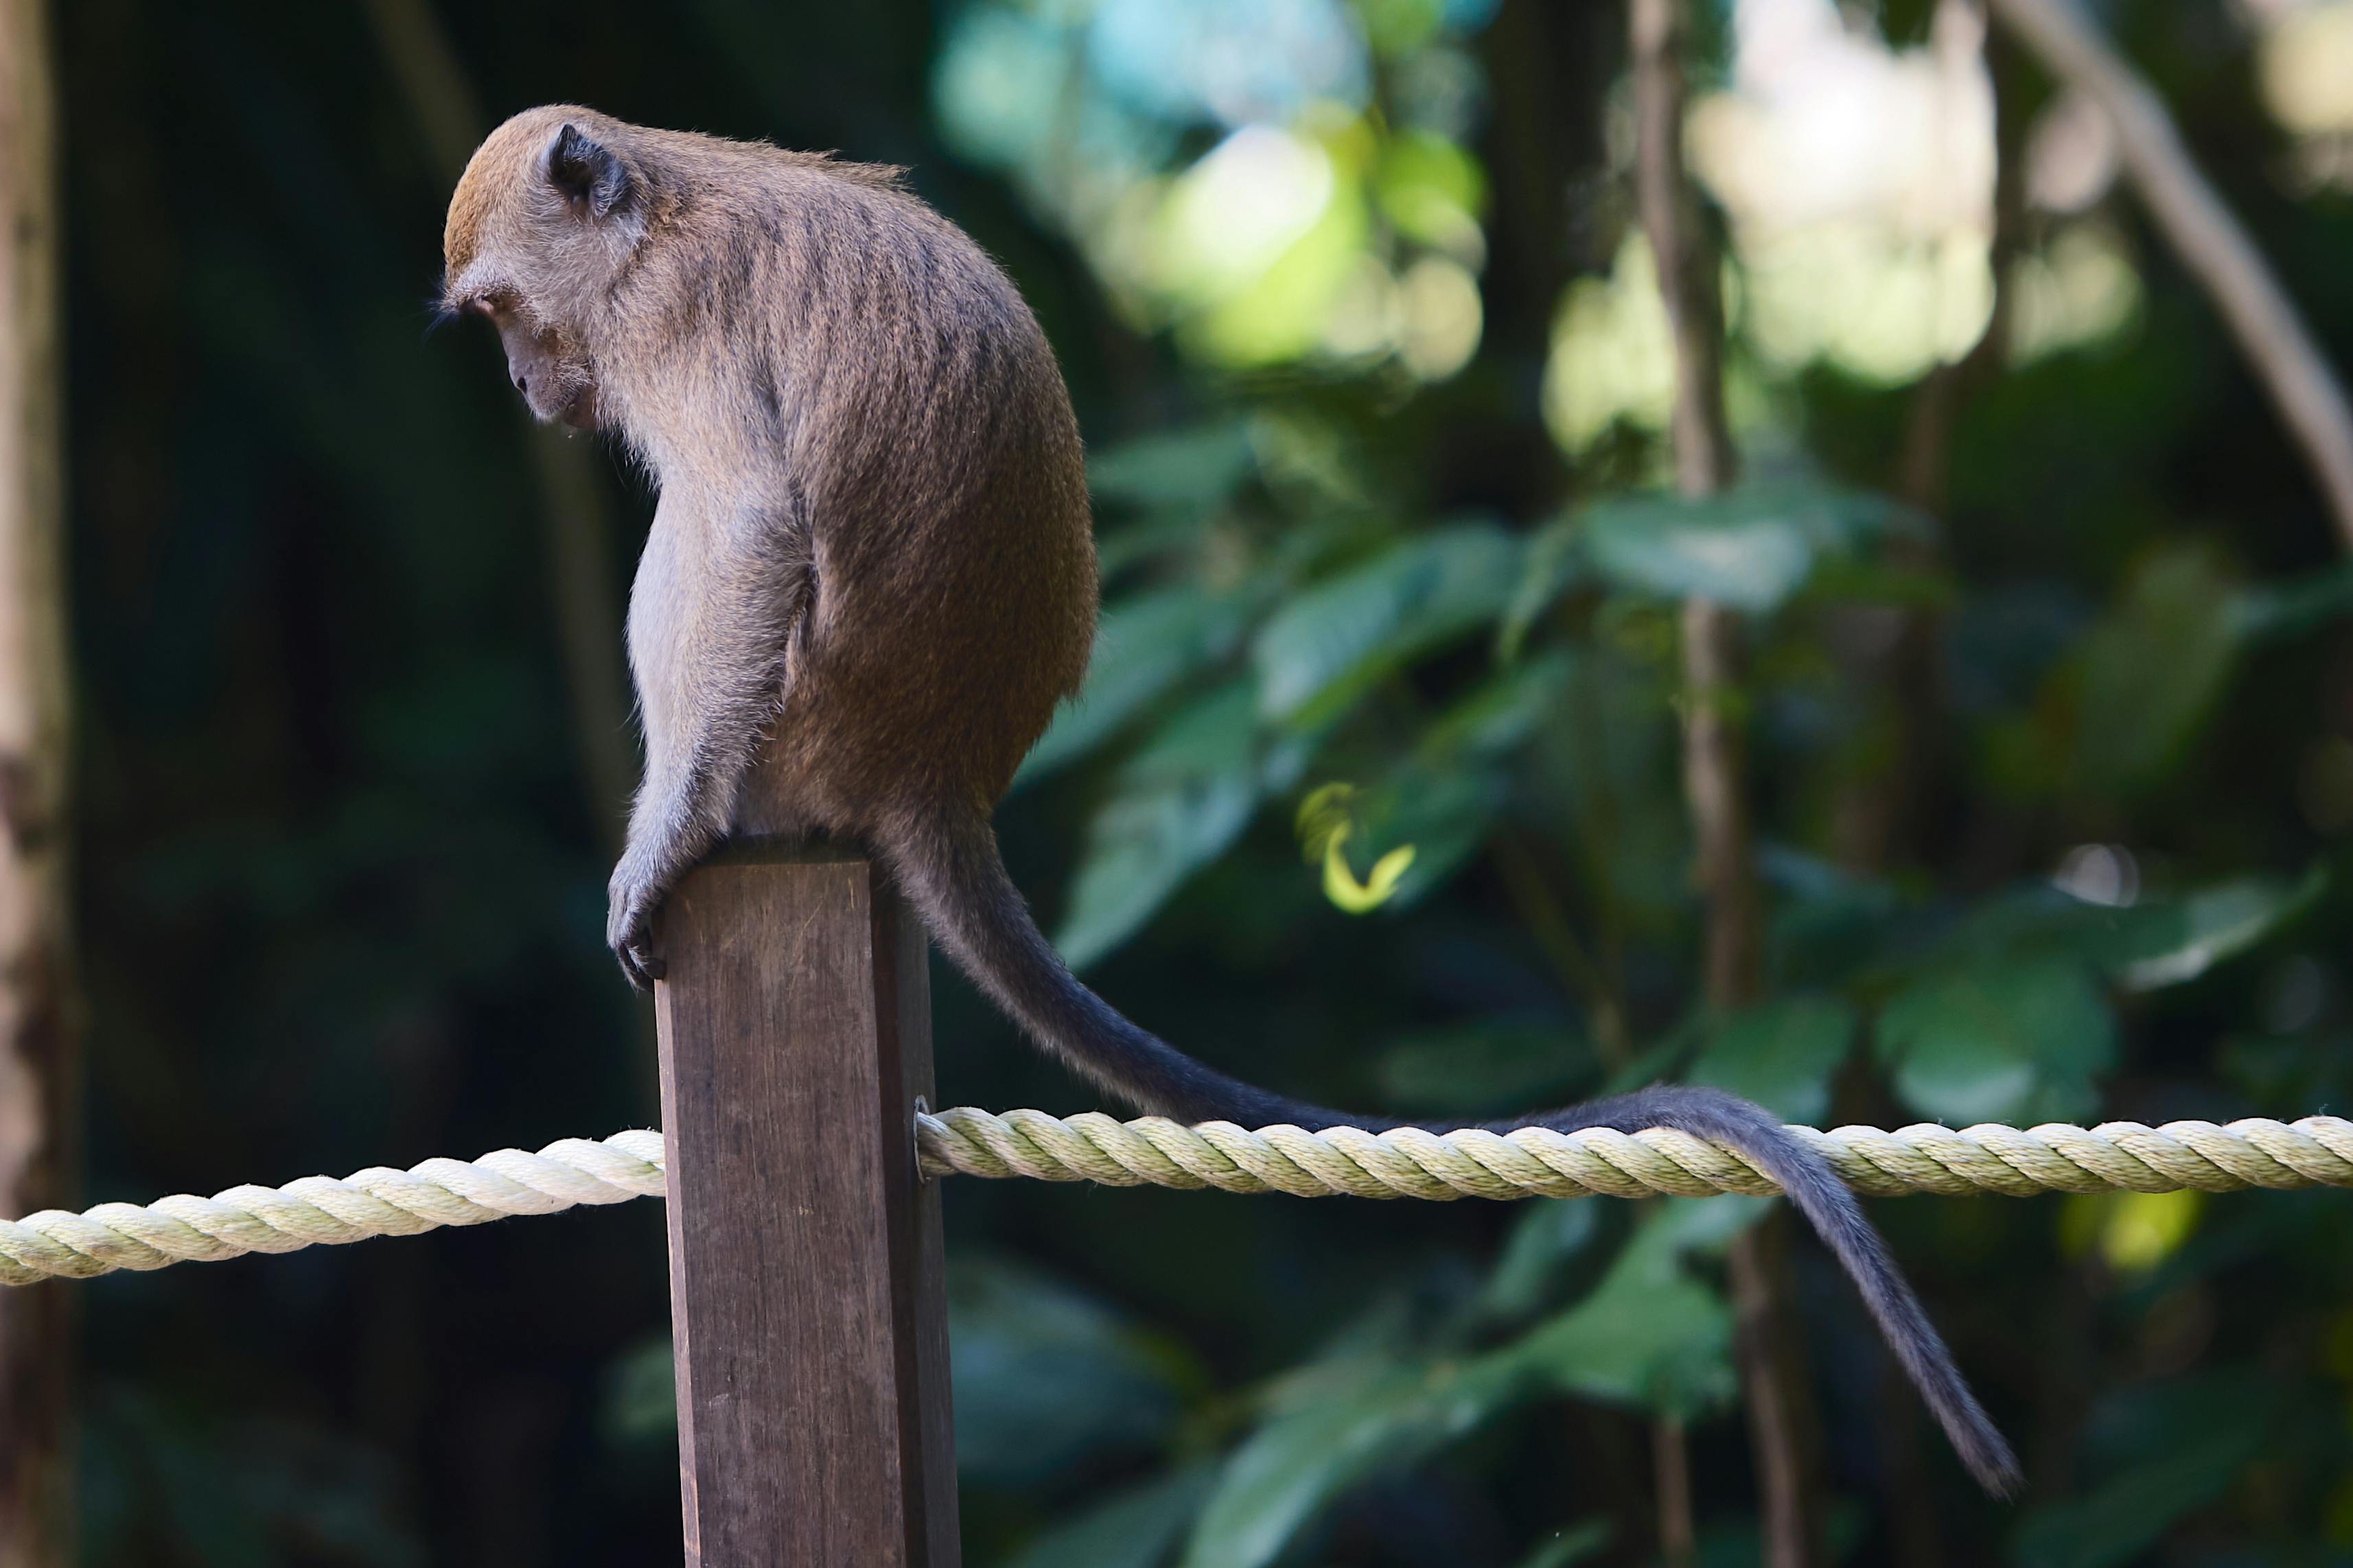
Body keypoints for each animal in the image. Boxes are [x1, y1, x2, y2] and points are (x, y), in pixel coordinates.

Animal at [439, 105, 2019, 1495]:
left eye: (507, 311)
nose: (516, 388)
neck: (659, 211)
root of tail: (929, 769)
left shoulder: (673, 330)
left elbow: (746, 528)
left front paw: (658, 846)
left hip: (803, 726)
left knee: (695, 546)